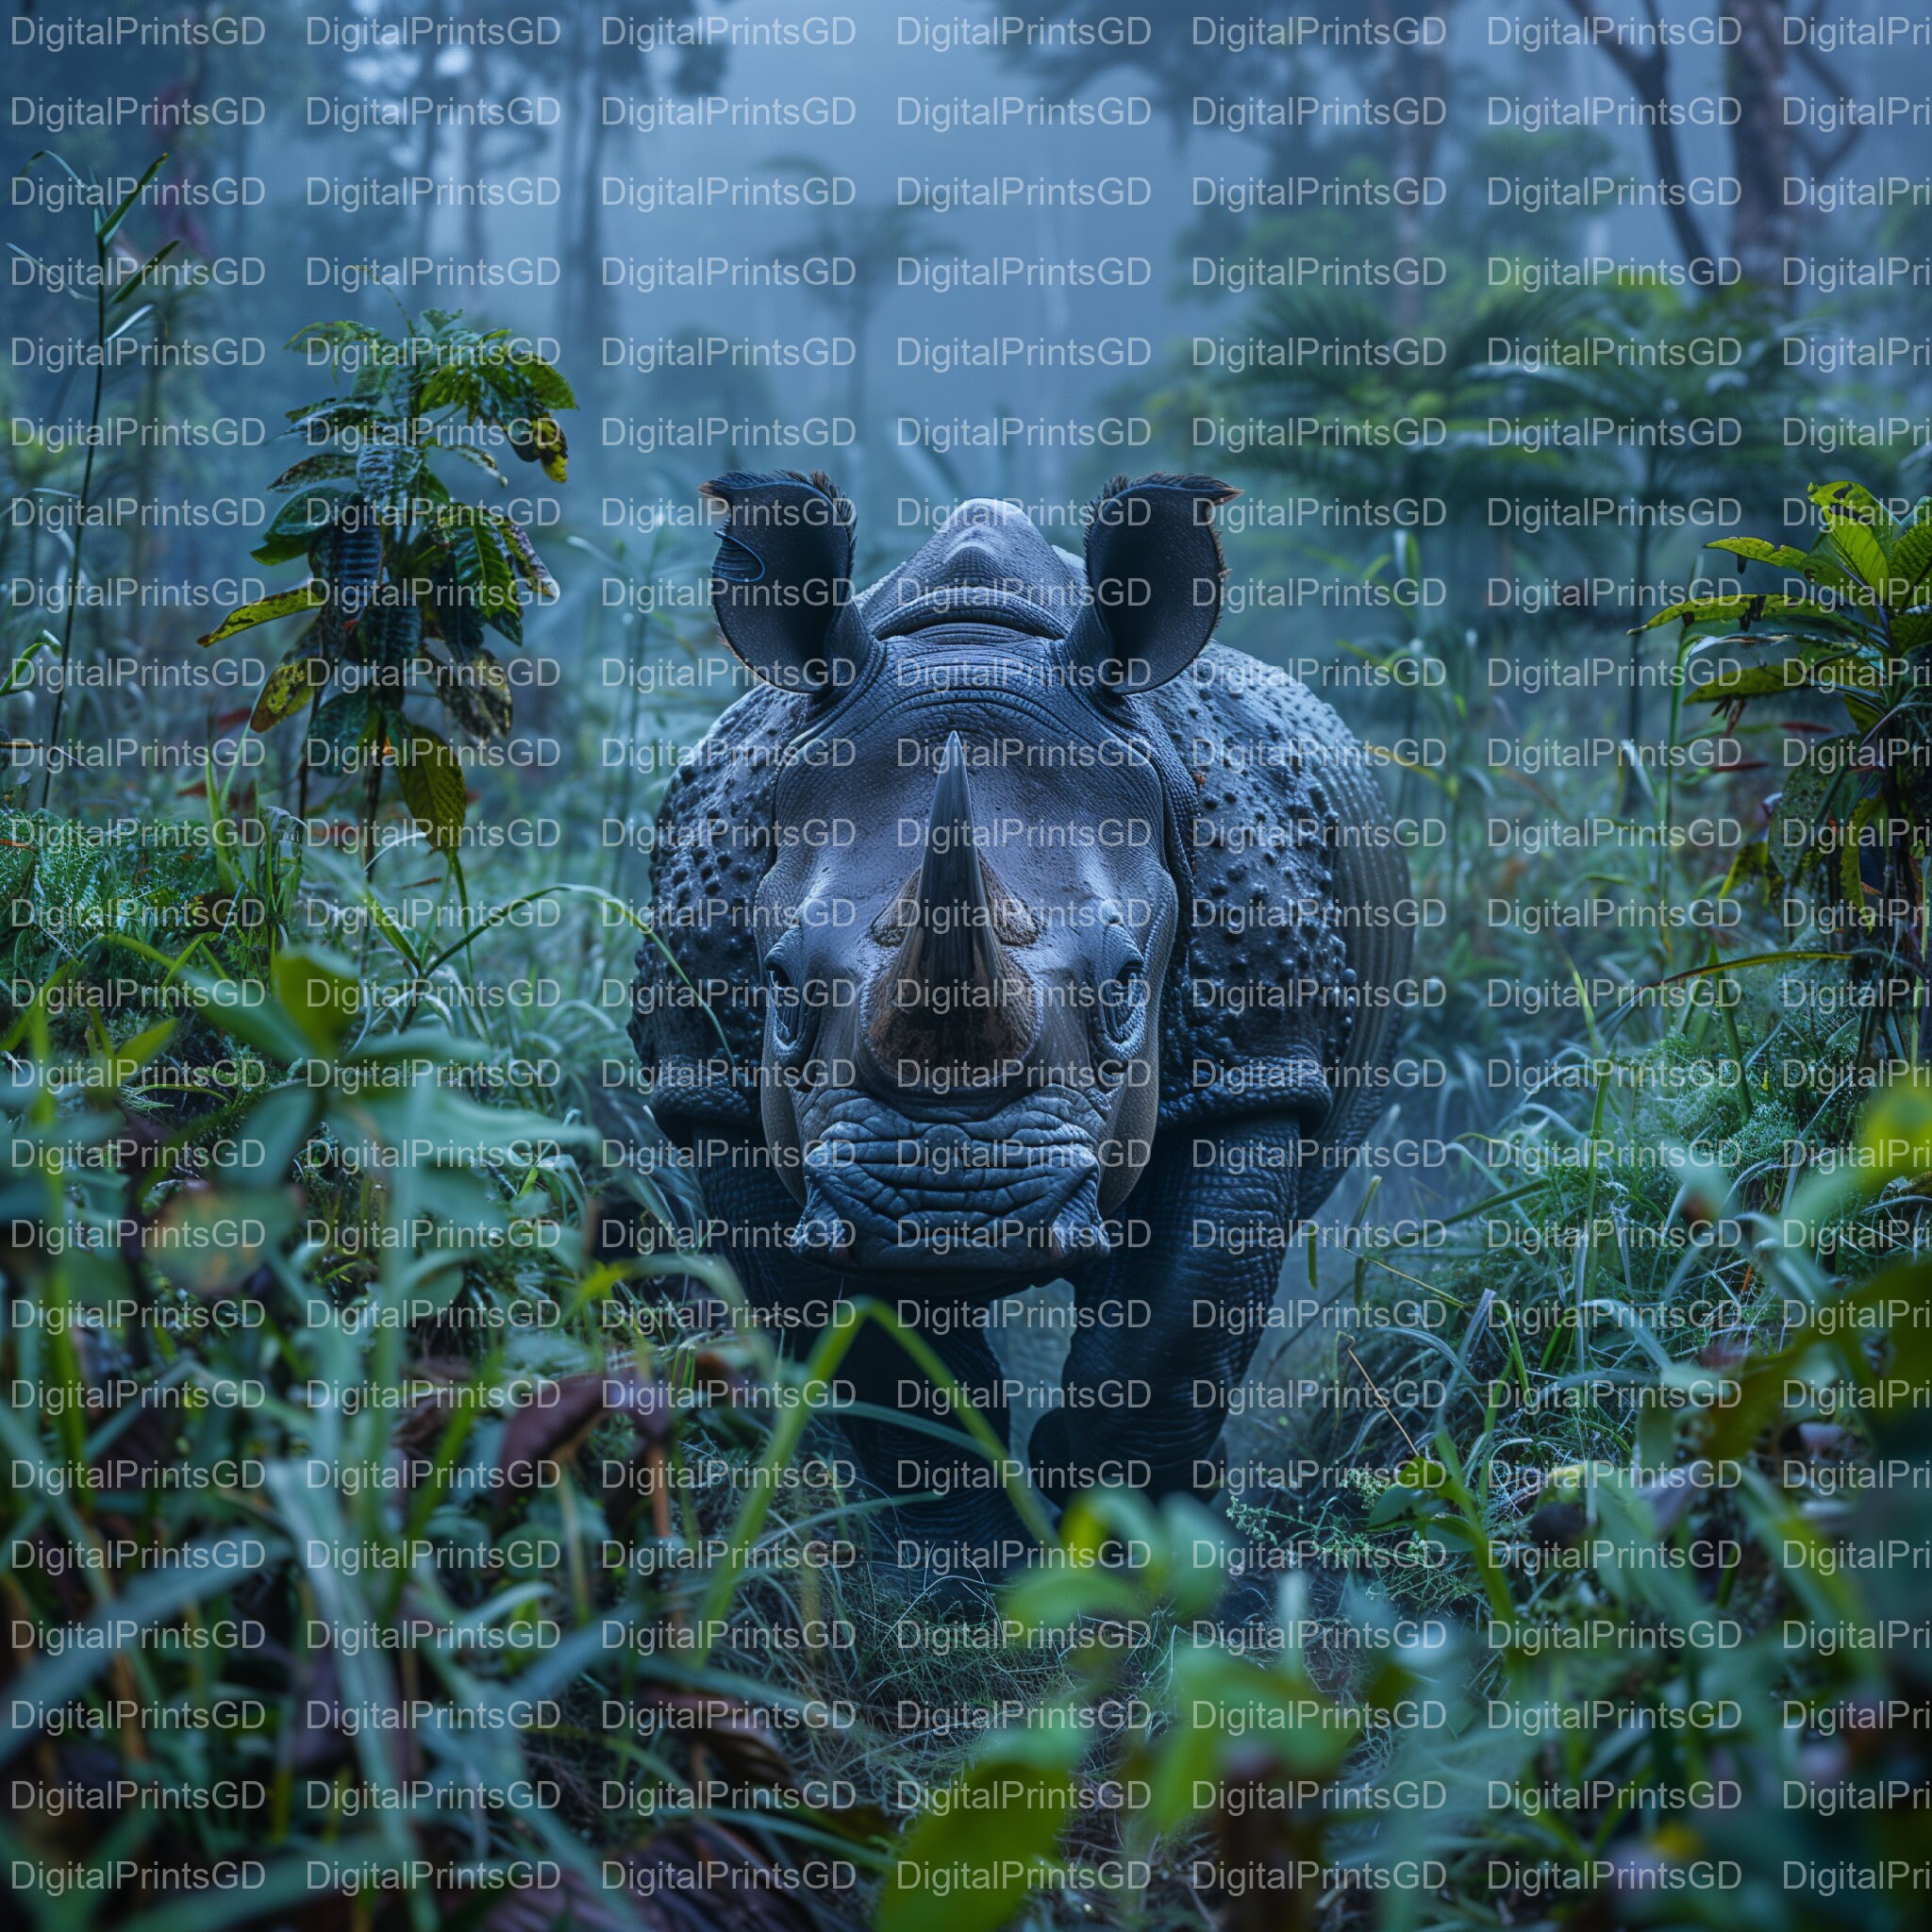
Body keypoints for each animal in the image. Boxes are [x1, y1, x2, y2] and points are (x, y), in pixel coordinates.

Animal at [630, 470, 1411, 1586]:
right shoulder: (725, 1095)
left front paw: (1127, 1535)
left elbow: (1174, 1321)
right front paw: (955, 1578)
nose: (949, 1206)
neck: (972, 637)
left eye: (1127, 986)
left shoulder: (1253, 1063)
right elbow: (881, 1358)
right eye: (775, 982)